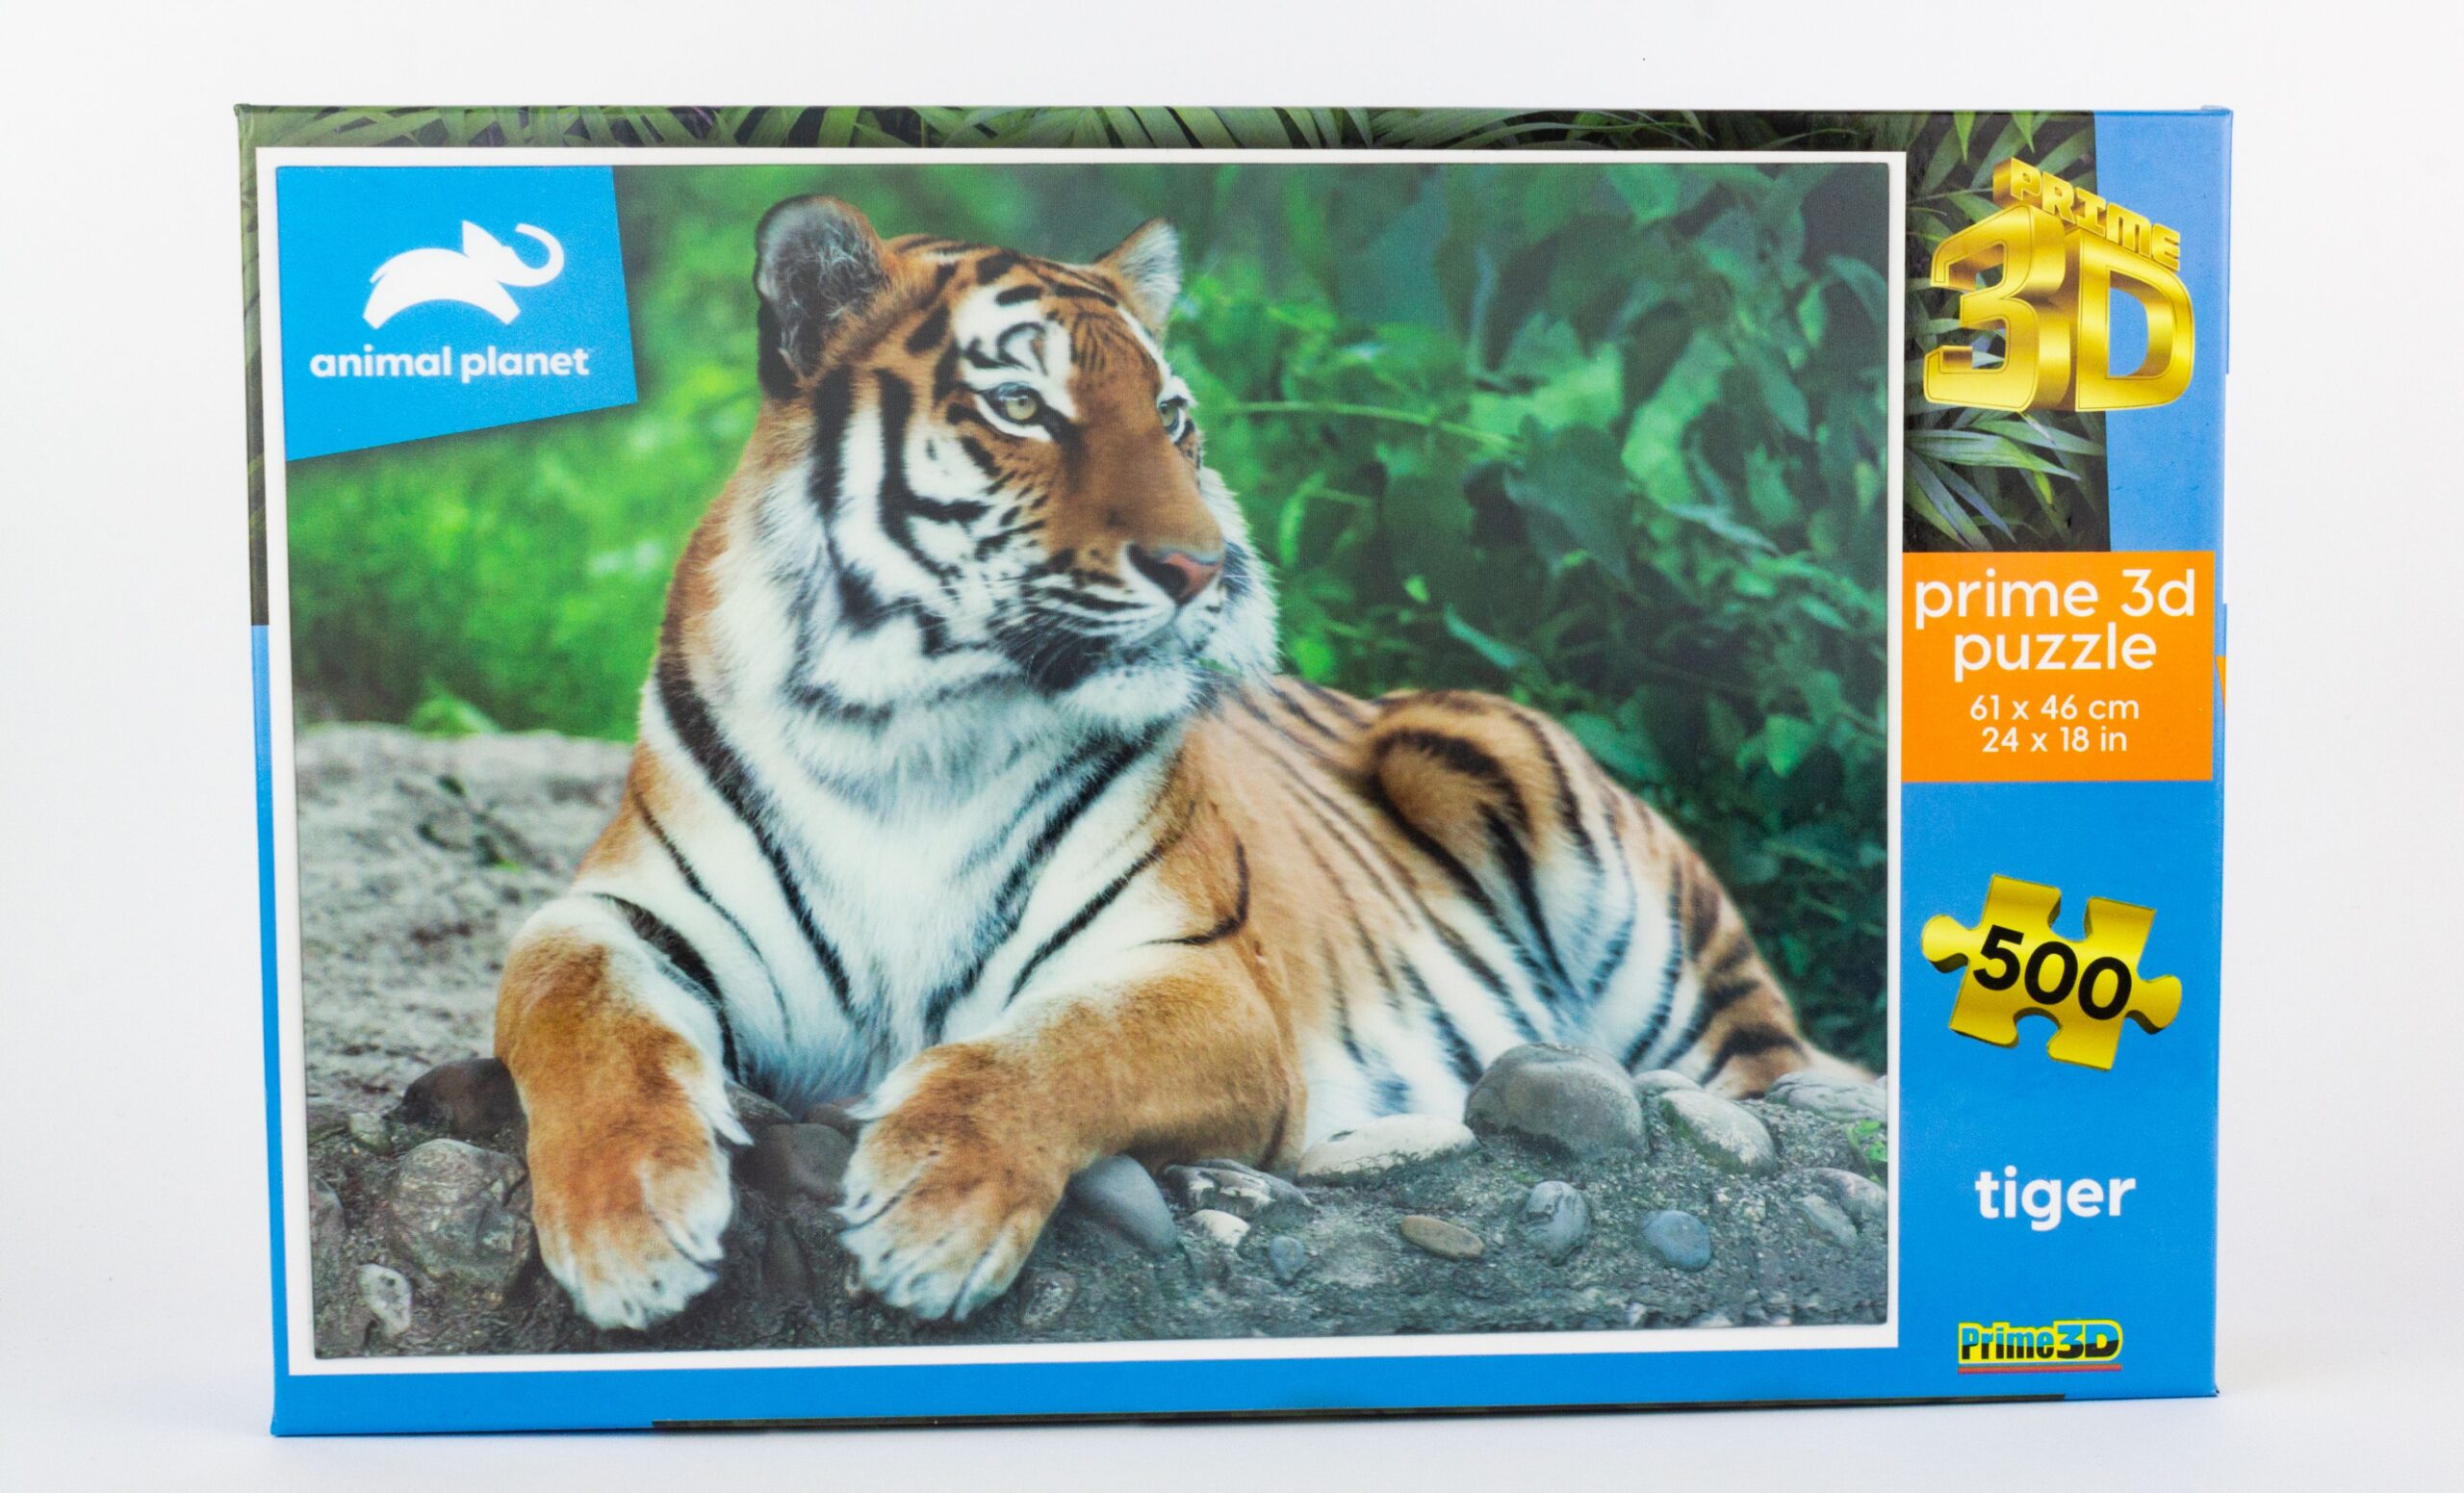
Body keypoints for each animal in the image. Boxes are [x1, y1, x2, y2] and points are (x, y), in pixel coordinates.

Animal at [493, 195, 1856, 1333]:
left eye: (1173, 419)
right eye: (1022, 408)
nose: (1207, 569)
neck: (909, 727)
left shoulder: (1201, 979)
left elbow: (1052, 1049)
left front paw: (931, 1210)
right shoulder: (616, 912)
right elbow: (576, 1010)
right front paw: (627, 1226)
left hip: (1552, 822)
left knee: (1777, 1075)